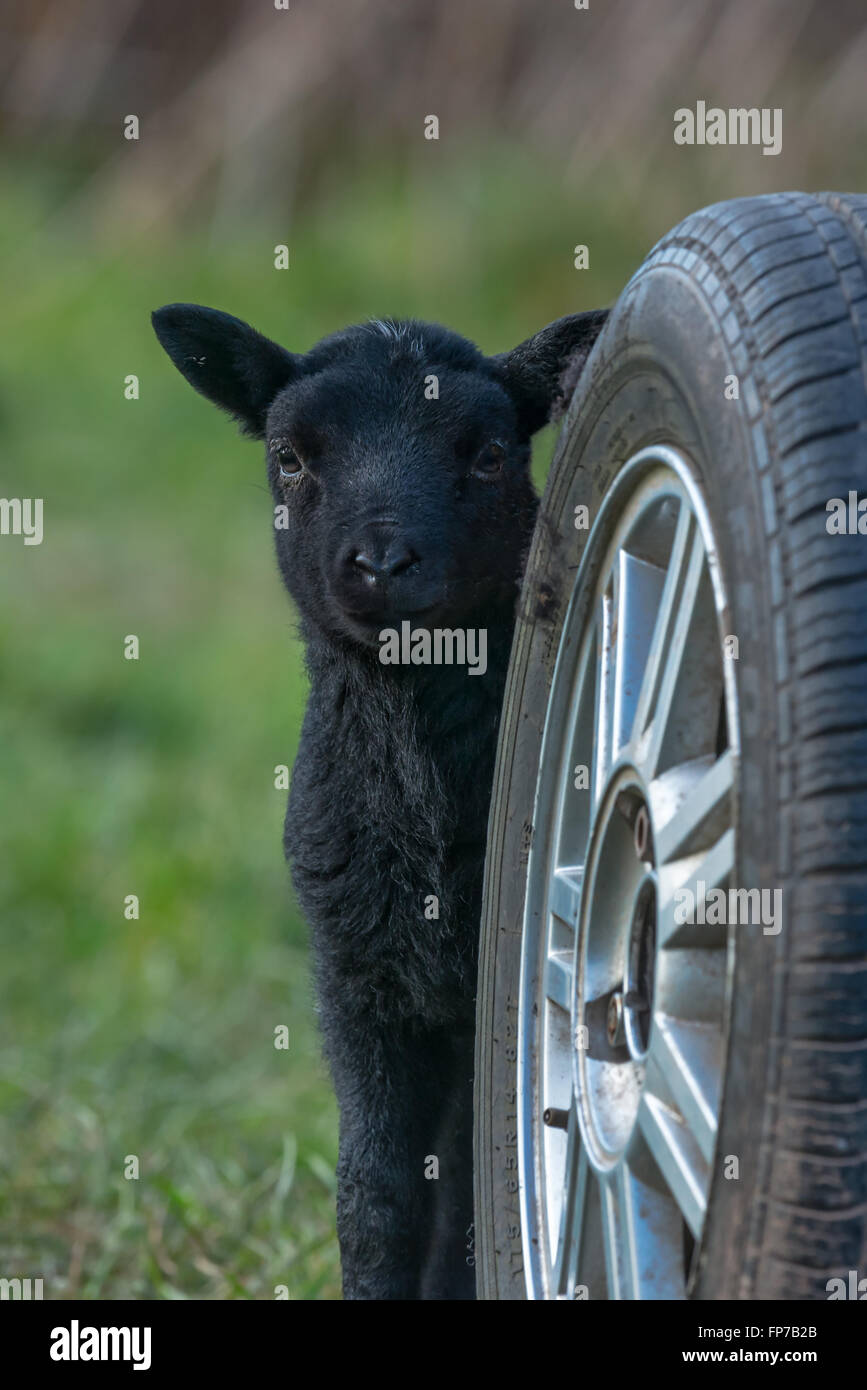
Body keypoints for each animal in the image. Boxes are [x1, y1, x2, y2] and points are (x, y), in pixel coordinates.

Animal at [152, 302, 607, 1299]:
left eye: (489, 454)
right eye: (289, 456)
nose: (384, 561)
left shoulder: (484, 1001)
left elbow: (472, 1199)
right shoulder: (358, 981)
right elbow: (376, 1192)